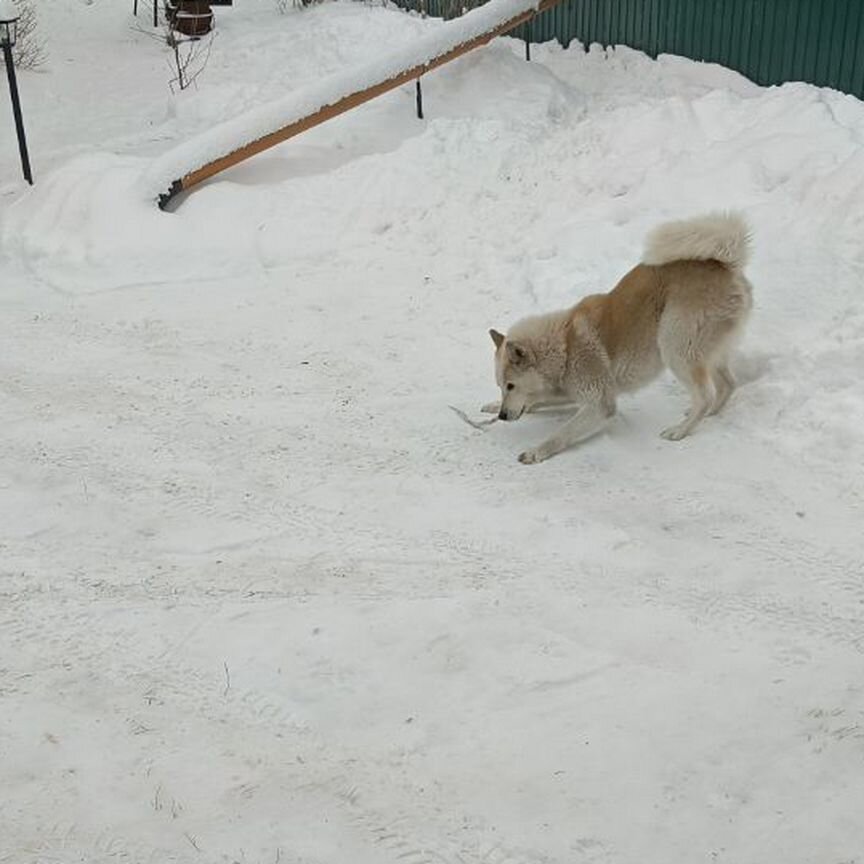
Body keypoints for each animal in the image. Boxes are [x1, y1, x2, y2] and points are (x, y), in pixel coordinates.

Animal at [482, 212, 752, 462]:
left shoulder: (599, 404)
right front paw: (493, 405)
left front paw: (535, 452)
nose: (502, 417)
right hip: (707, 352)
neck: (564, 348)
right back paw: (708, 414)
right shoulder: (570, 396)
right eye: (501, 386)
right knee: (727, 385)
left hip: (675, 347)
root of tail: (726, 263)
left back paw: (680, 430)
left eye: (511, 385)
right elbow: (536, 402)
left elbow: (561, 434)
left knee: (706, 395)